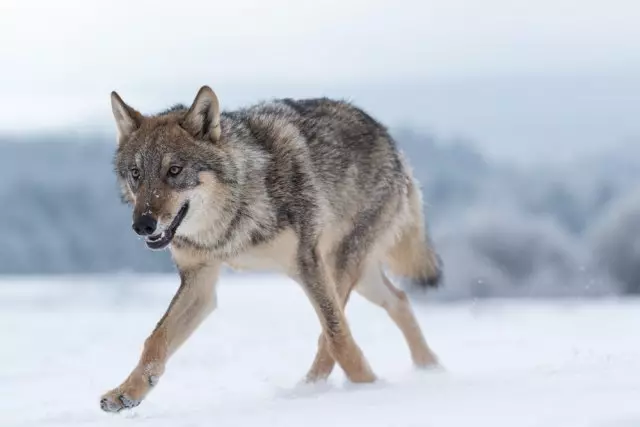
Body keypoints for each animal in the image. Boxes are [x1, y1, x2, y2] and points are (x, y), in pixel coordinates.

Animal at [100, 85, 442, 412]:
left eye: (174, 170)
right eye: (136, 174)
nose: (142, 225)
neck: (232, 217)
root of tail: (390, 141)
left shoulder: (307, 263)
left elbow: (337, 337)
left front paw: (368, 389)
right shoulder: (199, 281)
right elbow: (156, 339)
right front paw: (127, 393)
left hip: (340, 266)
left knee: (335, 333)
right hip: (356, 276)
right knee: (399, 300)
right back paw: (430, 370)